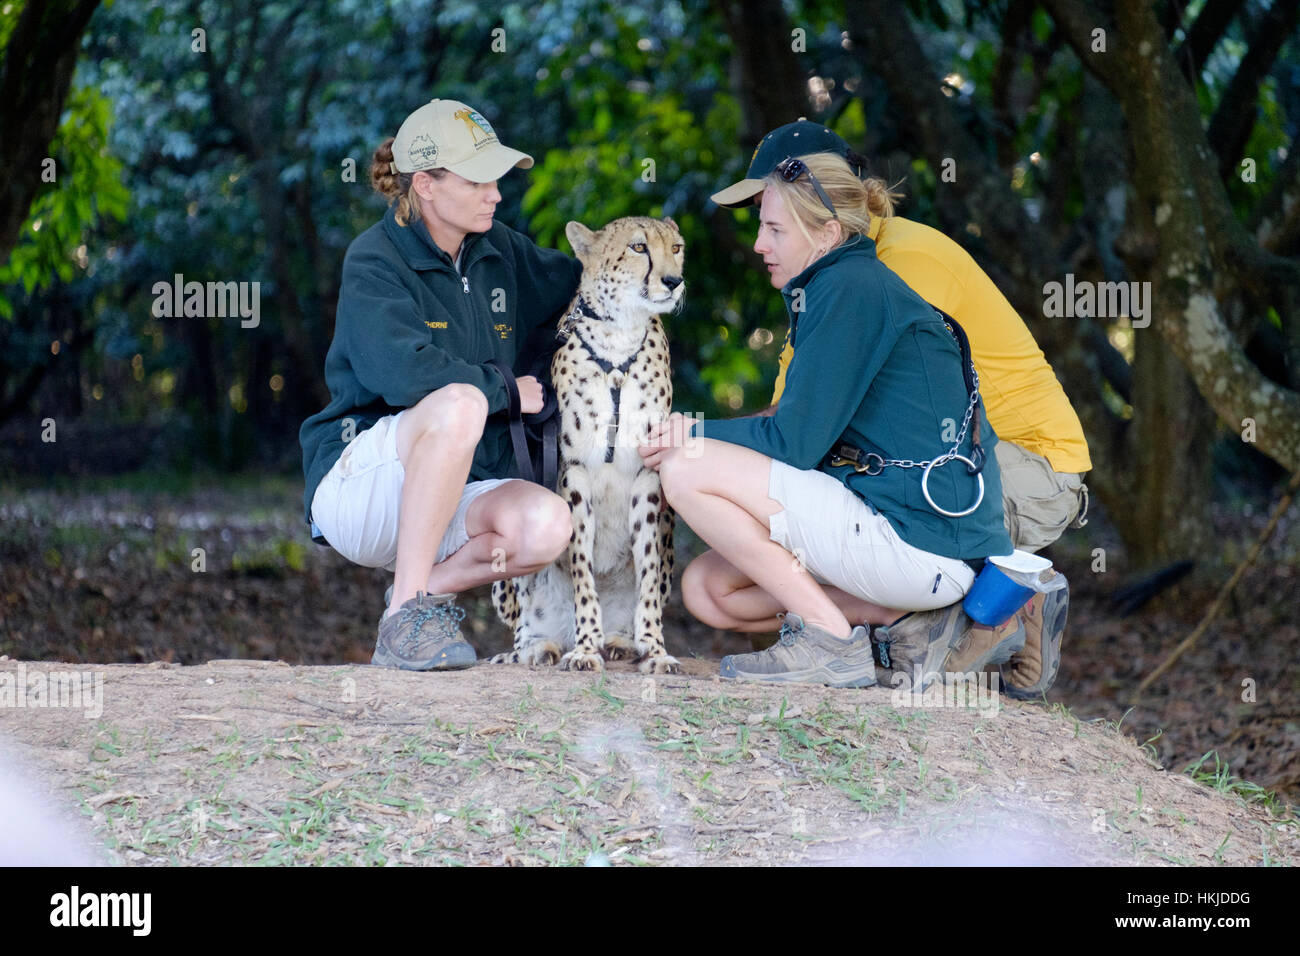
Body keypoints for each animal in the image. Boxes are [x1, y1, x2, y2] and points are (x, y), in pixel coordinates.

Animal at [490, 216, 685, 674]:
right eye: (638, 247)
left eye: (677, 247)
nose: (674, 281)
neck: (619, 337)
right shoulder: (573, 471)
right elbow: (582, 567)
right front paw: (584, 646)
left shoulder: (649, 473)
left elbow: (648, 571)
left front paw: (655, 649)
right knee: (524, 628)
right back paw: (542, 647)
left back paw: (620, 642)